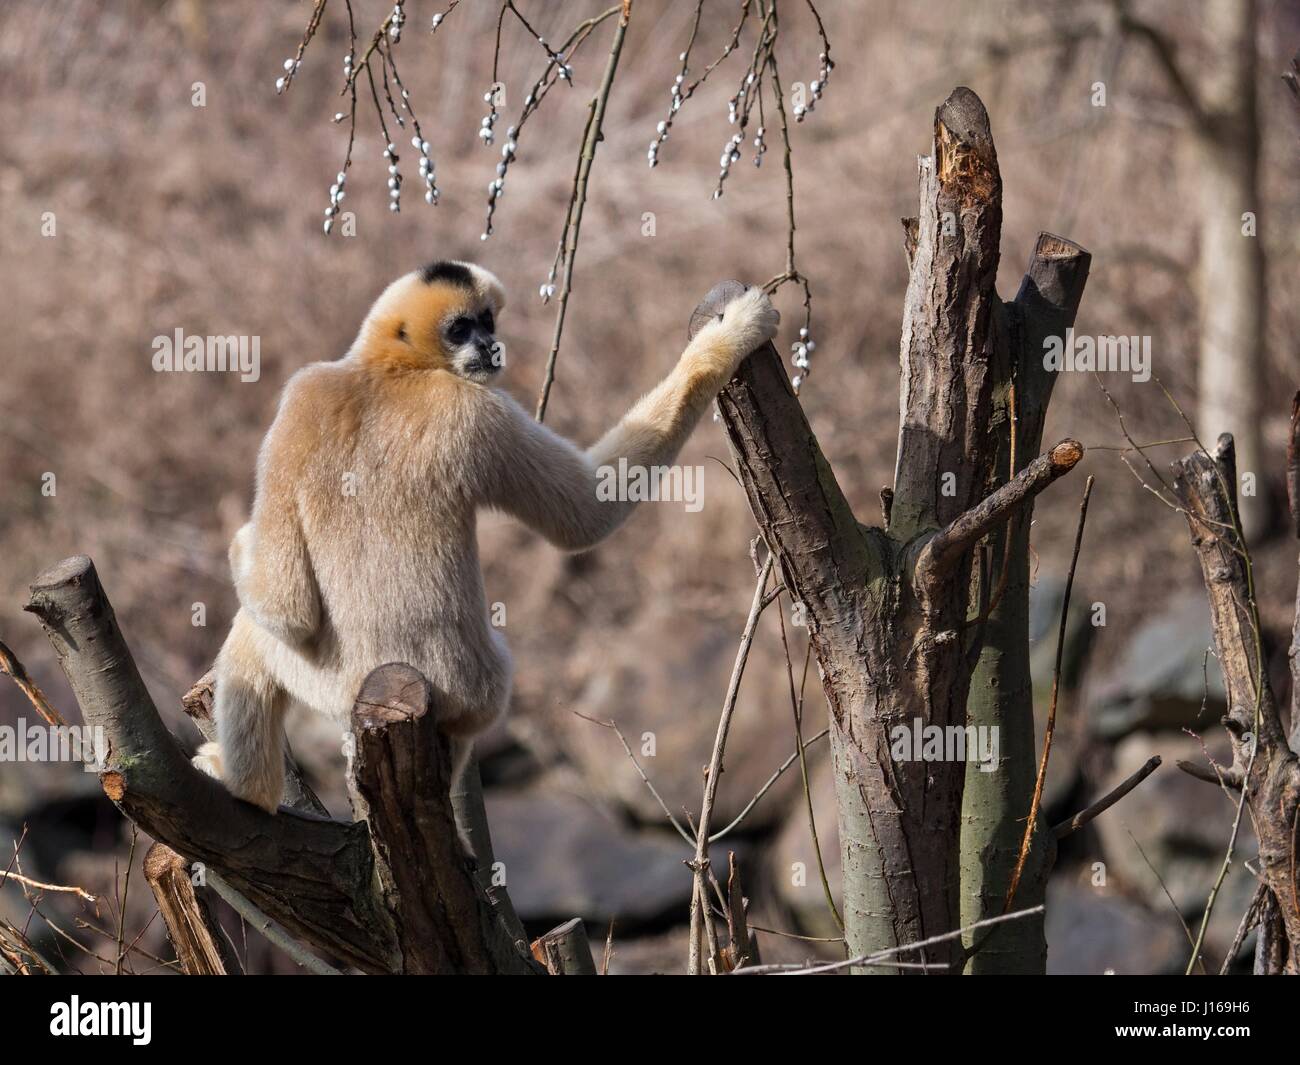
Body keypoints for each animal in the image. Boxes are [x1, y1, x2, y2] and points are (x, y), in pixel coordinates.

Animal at [194, 260, 779, 818]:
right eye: (460, 328)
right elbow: (587, 512)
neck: (390, 368)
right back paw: (252, 789)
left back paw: (247, 789)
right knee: (256, 634)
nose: (487, 344)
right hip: (438, 691)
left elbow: (285, 604)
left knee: (253, 635)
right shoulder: (469, 408)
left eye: (487, 321)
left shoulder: (304, 395)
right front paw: (729, 339)